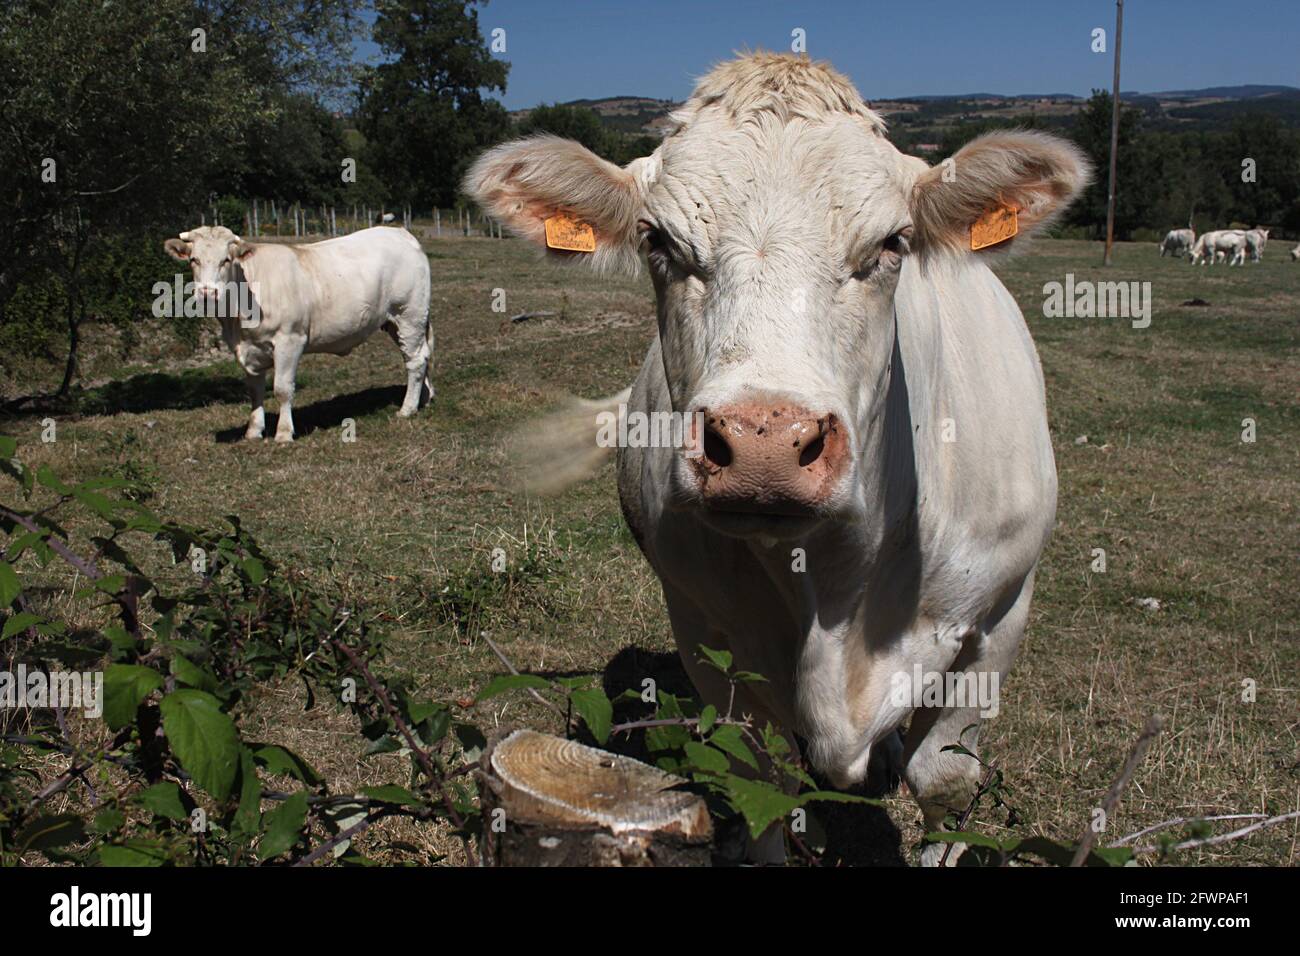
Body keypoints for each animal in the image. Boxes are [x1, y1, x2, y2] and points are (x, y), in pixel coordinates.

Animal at [163, 225, 432, 441]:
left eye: (226, 260)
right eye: (194, 260)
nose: (208, 293)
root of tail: (401, 233)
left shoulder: (290, 340)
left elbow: (282, 388)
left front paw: (283, 433)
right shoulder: (248, 349)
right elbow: (255, 391)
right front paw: (253, 431)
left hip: (409, 314)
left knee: (415, 360)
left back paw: (407, 409)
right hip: (397, 322)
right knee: (423, 355)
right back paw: (424, 399)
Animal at [467, 53, 1090, 865]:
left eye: (891, 244)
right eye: (659, 243)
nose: (766, 444)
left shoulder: (999, 615)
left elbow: (947, 781)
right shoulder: (705, 630)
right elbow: (759, 783)